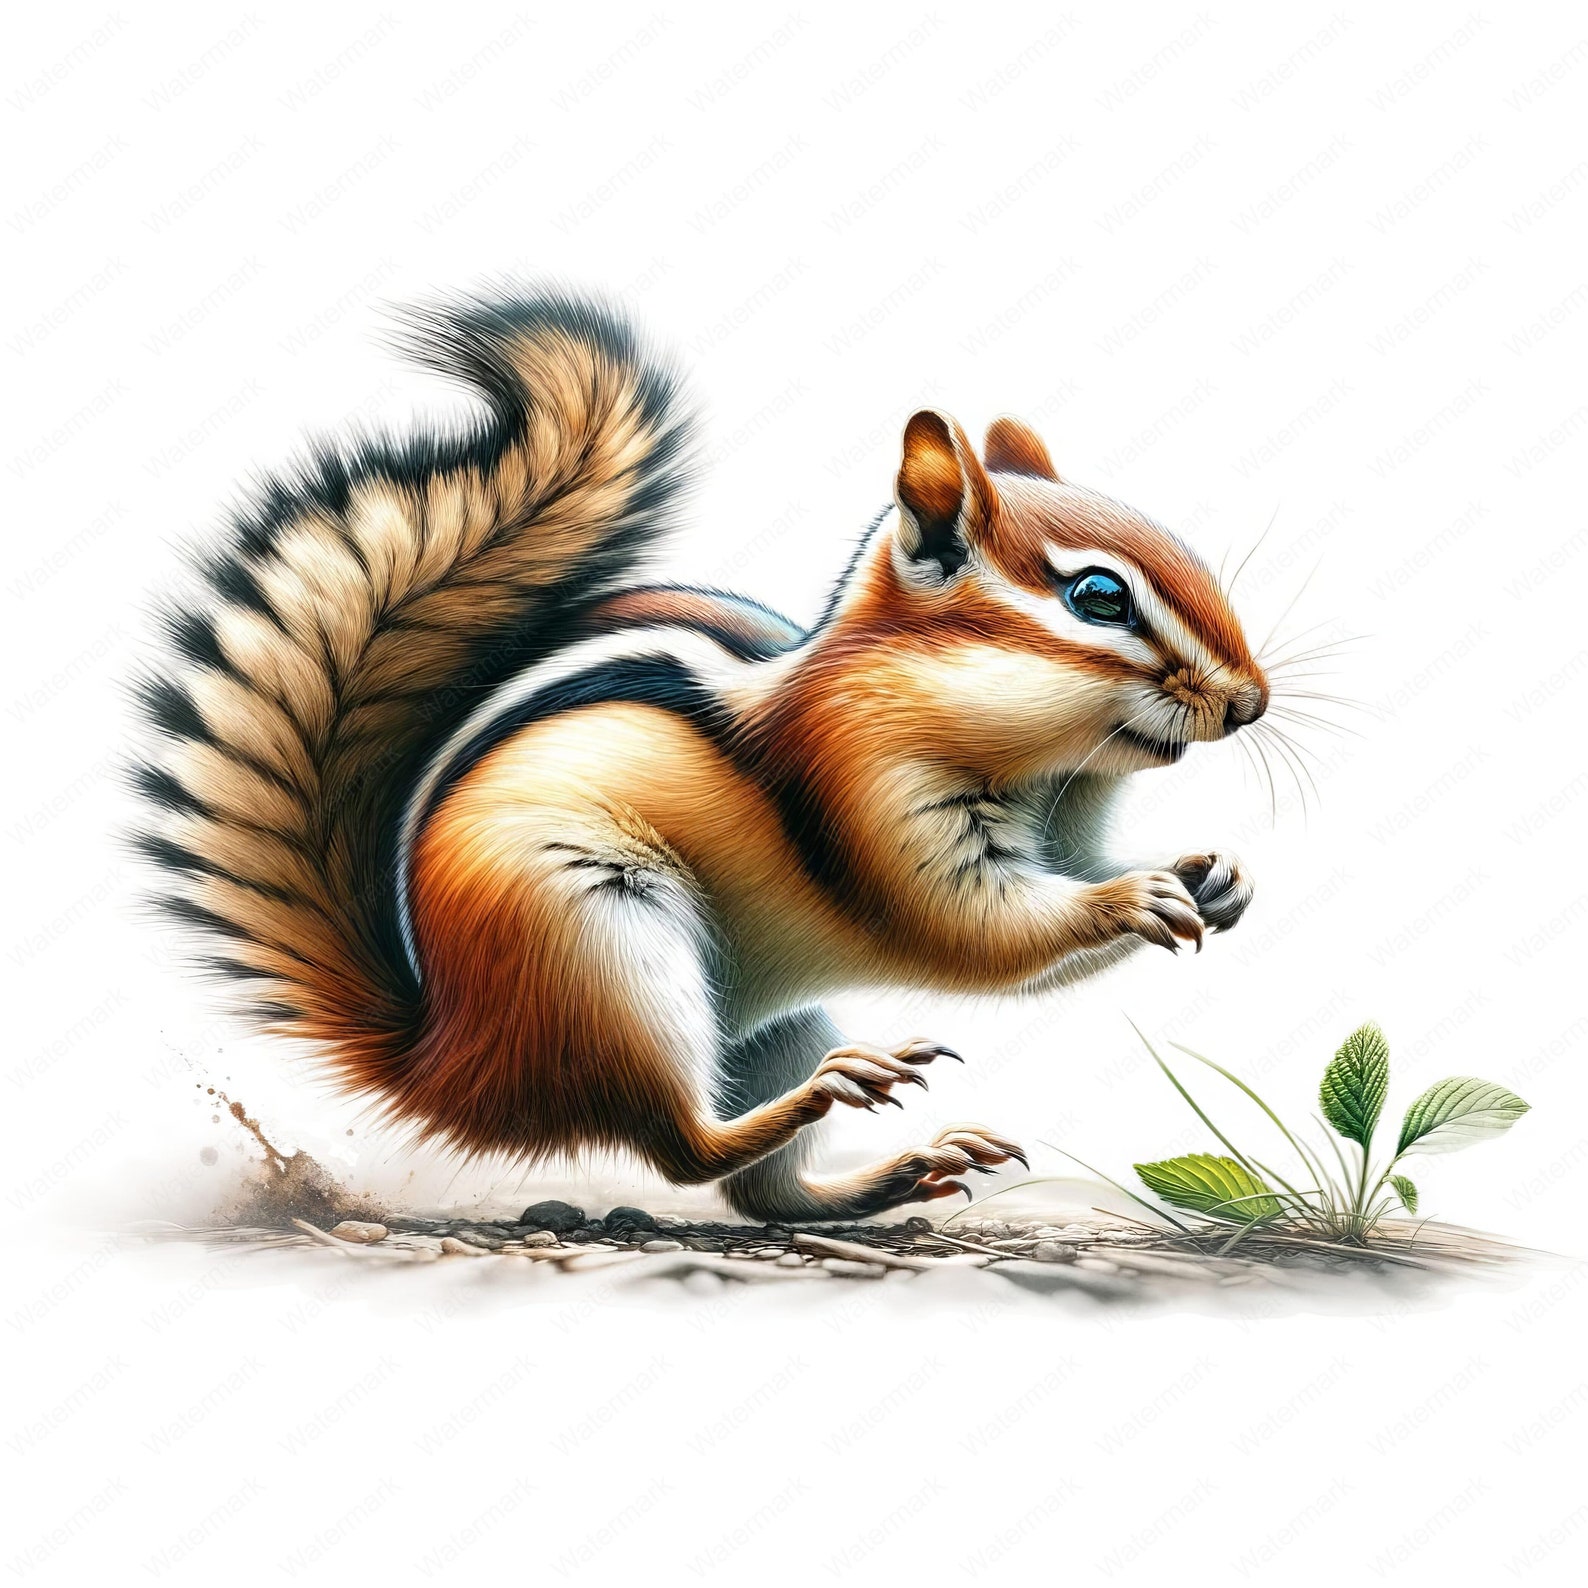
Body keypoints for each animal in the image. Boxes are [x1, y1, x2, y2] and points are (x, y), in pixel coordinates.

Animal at [135, 289, 1269, 1223]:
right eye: (1099, 597)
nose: (1249, 702)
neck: (1046, 769)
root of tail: (443, 1057)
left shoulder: (1064, 822)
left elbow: (1072, 872)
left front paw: (1211, 877)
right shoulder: (866, 793)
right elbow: (968, 927)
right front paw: (1133, 898)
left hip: (768, 1017)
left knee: (759, 1196)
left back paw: (889, 1174)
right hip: (599, 934)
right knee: (682, 1148)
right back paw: (831, 1093)